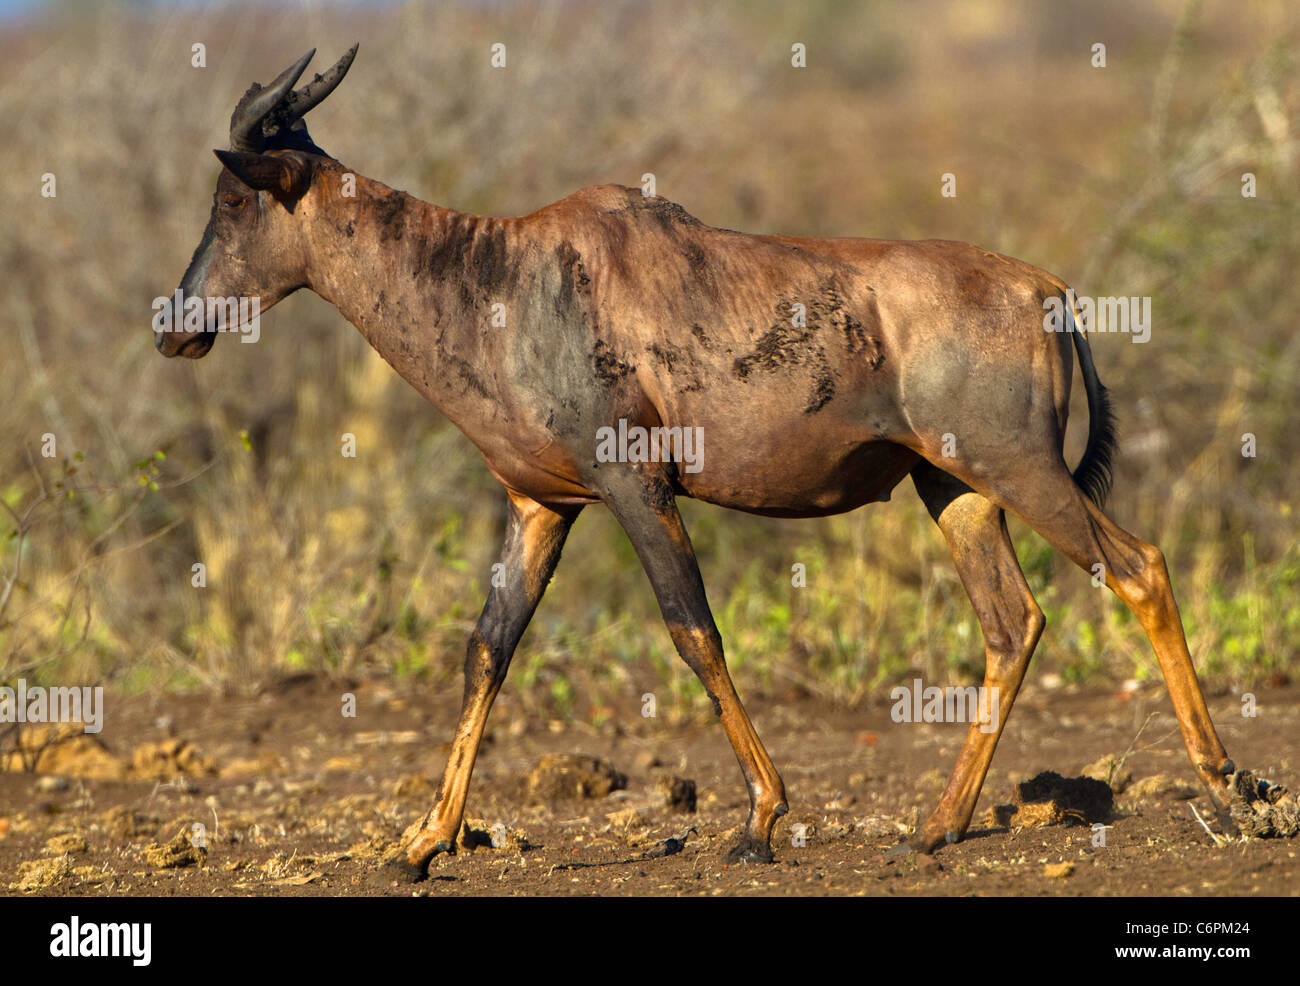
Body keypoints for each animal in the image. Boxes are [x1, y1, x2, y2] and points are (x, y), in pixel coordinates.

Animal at [158, 47, 1249, 883]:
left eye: (232, 194)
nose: (177, 324)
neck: (511, 274)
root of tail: (1048, 291)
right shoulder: (540, 505)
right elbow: (486, 653)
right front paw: (422, 843)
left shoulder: (636, 485)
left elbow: (694, 632)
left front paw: (760, 821)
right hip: (957, 490)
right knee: (1012, 623)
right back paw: (934, 827)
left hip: (1021, 472)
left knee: (1138, 567)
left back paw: (1230, 790)